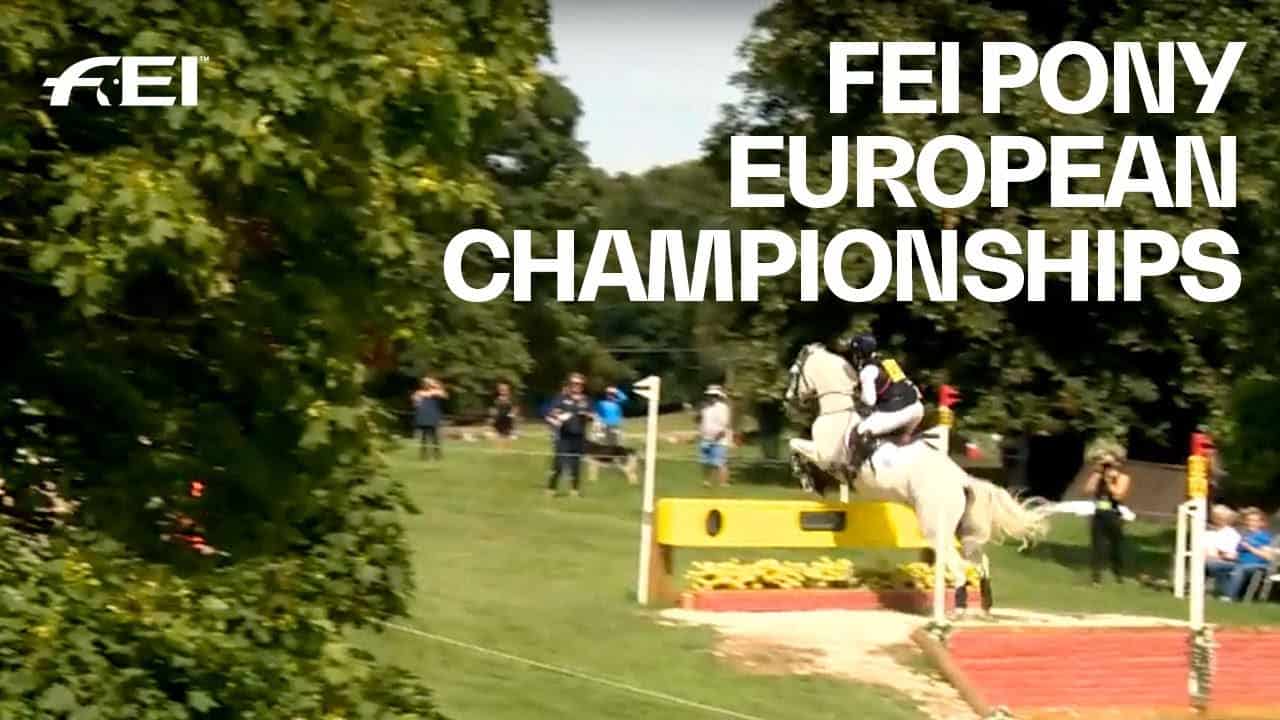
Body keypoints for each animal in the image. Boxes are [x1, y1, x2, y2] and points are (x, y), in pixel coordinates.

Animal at [782, 342, 1050, 614]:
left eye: (794, 373)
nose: (788, 400)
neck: (838, 409)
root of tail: (962, 480)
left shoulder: (825, 455)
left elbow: (794, 444)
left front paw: (807, 480)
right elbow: (796, 445)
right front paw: (812, 482)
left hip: (935, 527)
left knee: (958, 567)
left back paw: (957, 610)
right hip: (962, 530)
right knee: (980, 562)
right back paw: (985, 604)